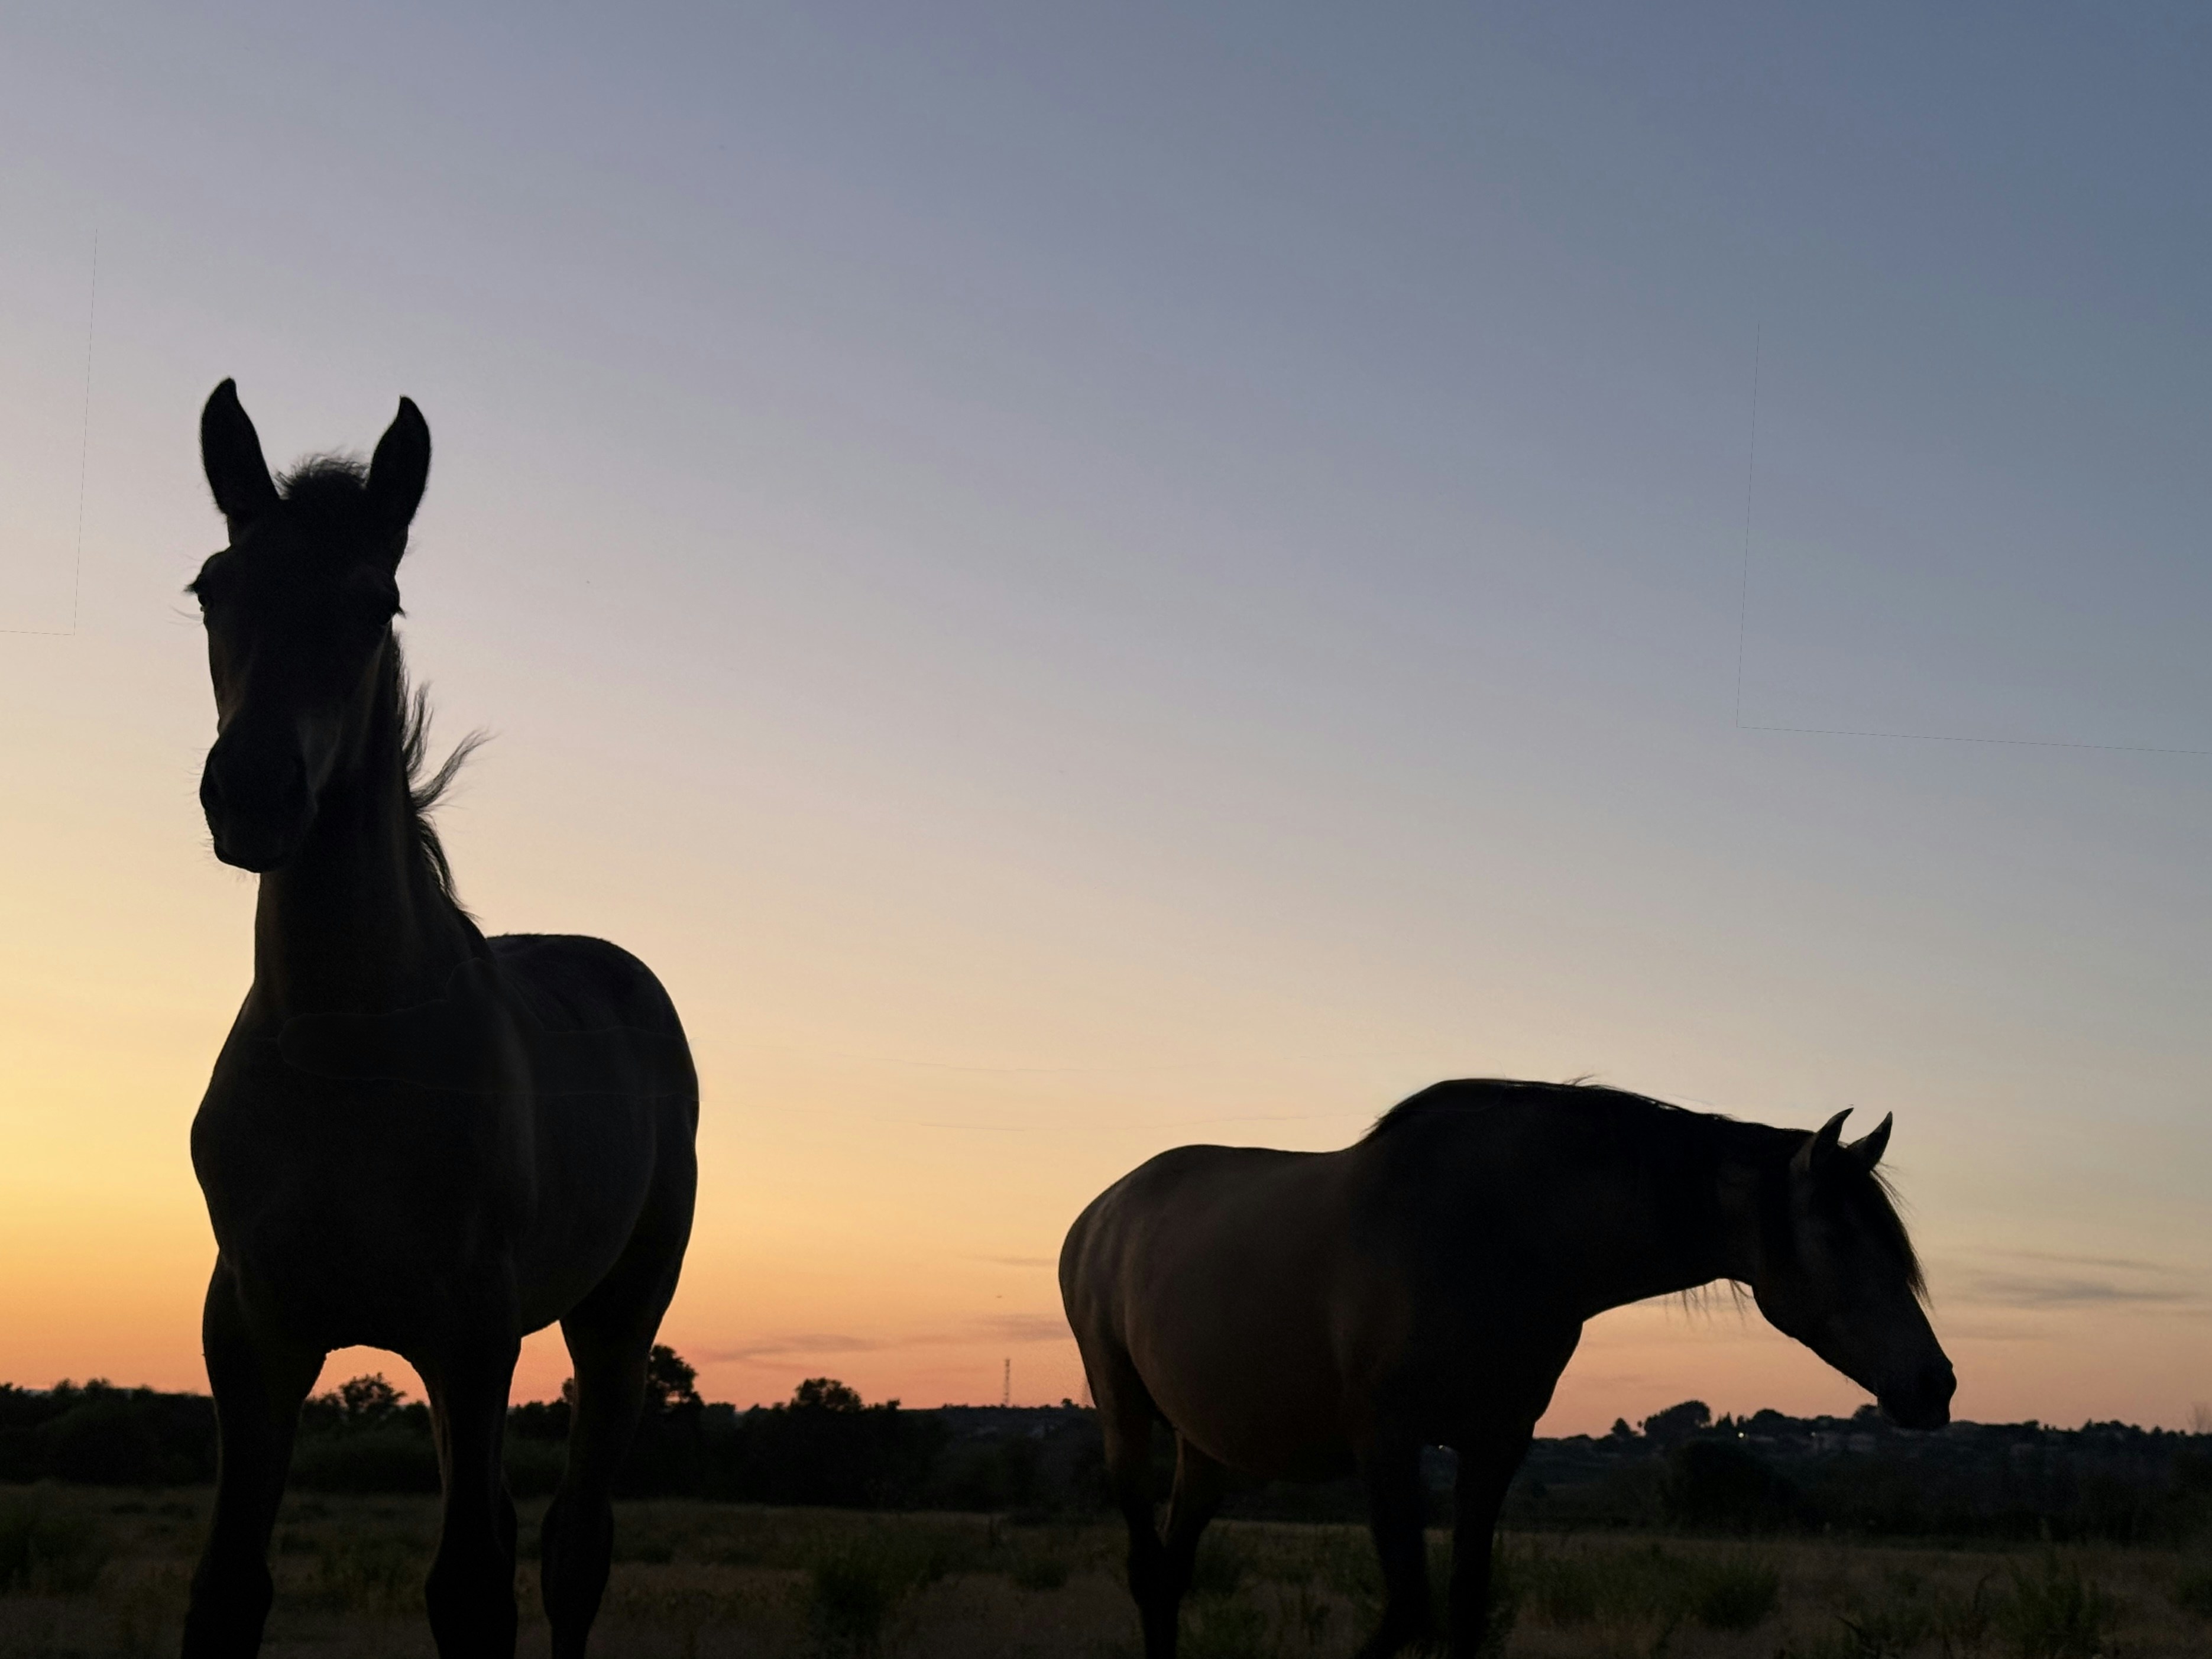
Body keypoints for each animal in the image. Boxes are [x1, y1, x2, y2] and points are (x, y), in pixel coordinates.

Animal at [182, 381, 699, 1659]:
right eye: (214, 586)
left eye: (377, 602)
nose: (252, 793)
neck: (345, 1049)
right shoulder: (254, 1333)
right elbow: (228, 1588)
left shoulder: (475, 1335)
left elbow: (472, 1591)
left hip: (616, 1327)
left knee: (571, 1547)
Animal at [1060, 1078, 1954, 1659]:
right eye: (1838, 1236)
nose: (1934, 1383)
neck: (1498, 1229)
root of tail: (1103, 1211)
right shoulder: (1386, 1441)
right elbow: (1408, 1612)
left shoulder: (1496, 1442)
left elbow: (1461, 1608)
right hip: (1124, 1416)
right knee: (1146, 1568)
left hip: (1207, 1449)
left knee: (1171, 1576)